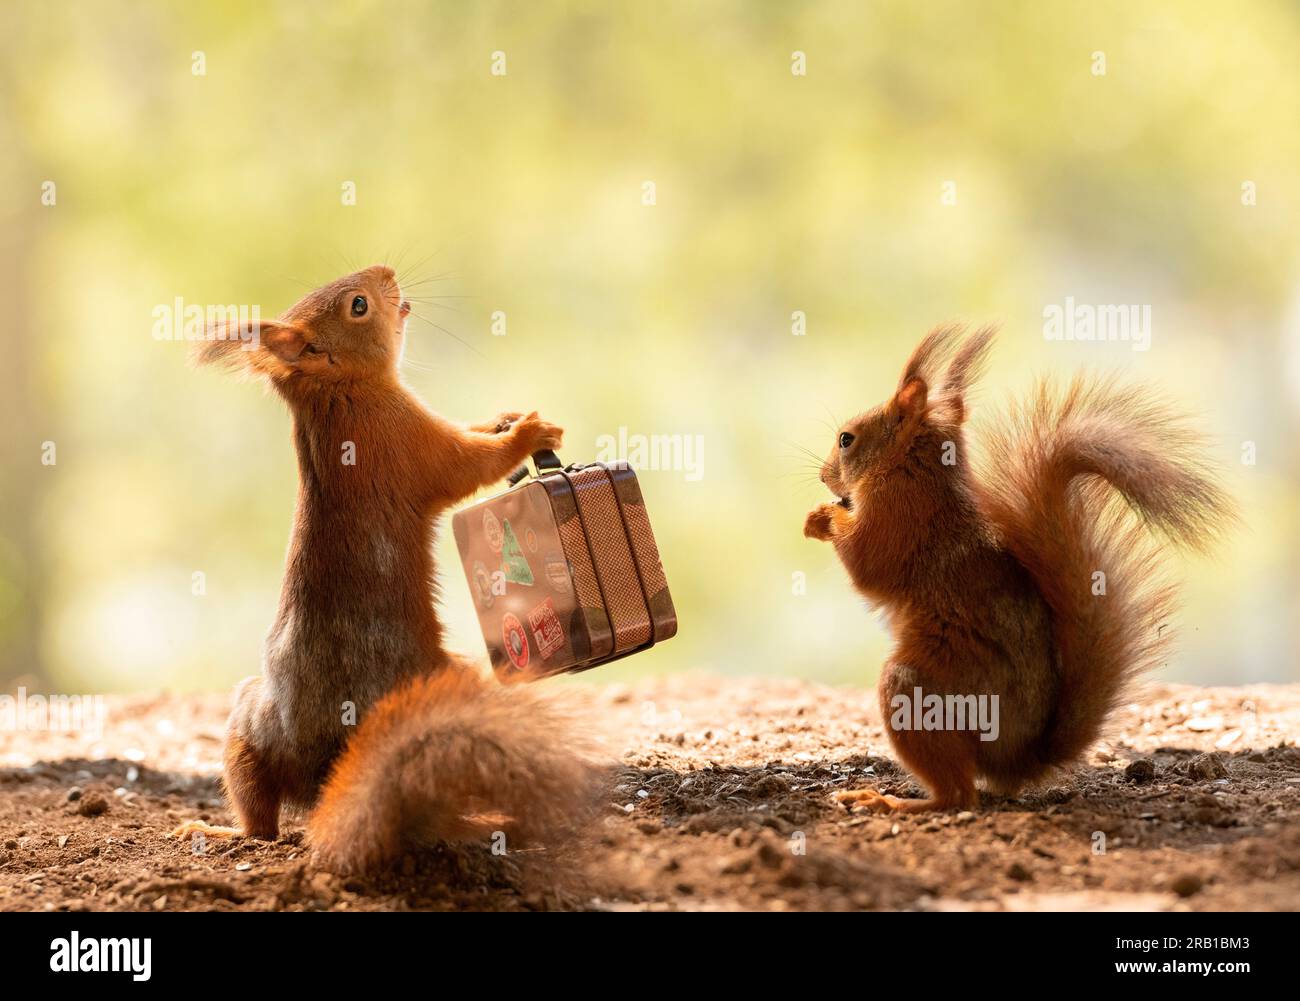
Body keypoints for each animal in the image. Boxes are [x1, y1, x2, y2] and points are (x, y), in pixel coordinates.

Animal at [171, 265, 598, 872]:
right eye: (358, 306)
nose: (388, 273)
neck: (339, 393)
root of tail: (322, 779)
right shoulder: (405, 440)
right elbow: (469, 464)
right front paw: (527, 433)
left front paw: (504, 417)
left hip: (248, 729)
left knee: (263, 823)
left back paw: (221, 827)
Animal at [804, 323, 1233, 814]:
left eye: (847, 439)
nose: (823, 477)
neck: (914, 468)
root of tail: (1021, 756)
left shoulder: (898, 516)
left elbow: (866, 565)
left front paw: (821, 518)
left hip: (918, 691)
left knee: (959, 796)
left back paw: (889, 801)